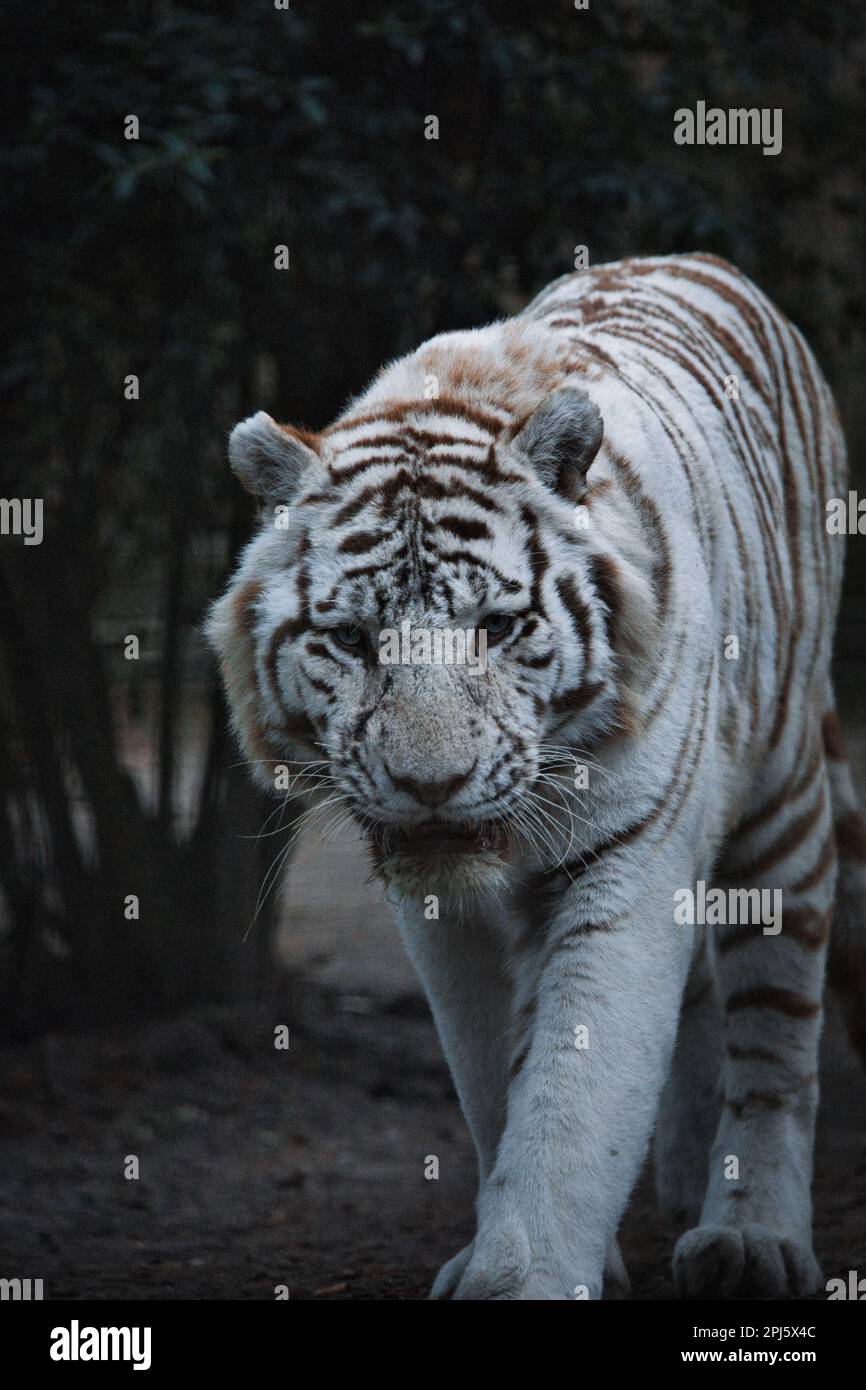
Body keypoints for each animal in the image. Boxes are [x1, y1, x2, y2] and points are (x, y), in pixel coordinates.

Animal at [206, 252, 866, 1300]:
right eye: (352, 639)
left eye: (499, 627)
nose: (431, 783)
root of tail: (699, 259)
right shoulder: (443, 917)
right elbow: (493, 1080)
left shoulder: (629, 859)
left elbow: (574, 1096)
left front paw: (530, 1272)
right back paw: (684, 1174)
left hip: (785, 806)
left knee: (776, 1041)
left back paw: (750, 1236)